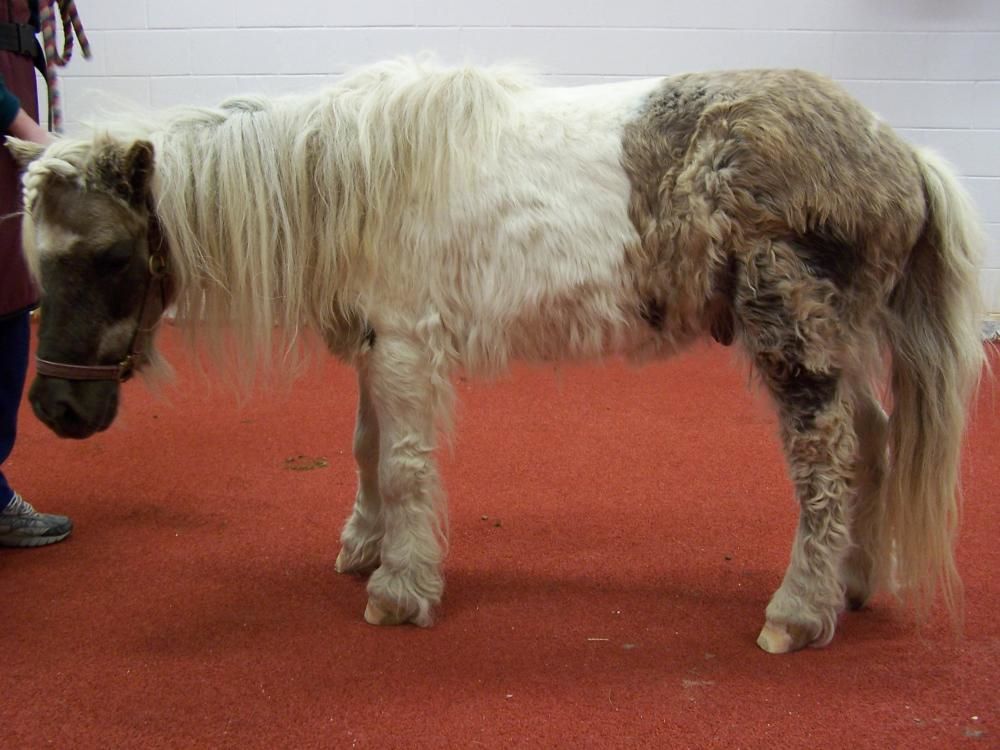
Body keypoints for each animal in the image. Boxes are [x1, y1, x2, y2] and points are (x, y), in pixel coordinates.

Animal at [9, 59, 985, 654]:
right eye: (37, 258)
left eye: (107, 256)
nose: (56, 411)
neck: (346, 180)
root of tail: (899, 149)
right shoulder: (379, 346)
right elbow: (365, 449)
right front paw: (365, 546)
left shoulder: (406, 345)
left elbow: (403, 468)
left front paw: (400, 589)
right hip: (839, 344)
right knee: (873, 445)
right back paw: (851, 585)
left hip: (794, 339)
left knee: (826, 464)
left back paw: (799, 612)